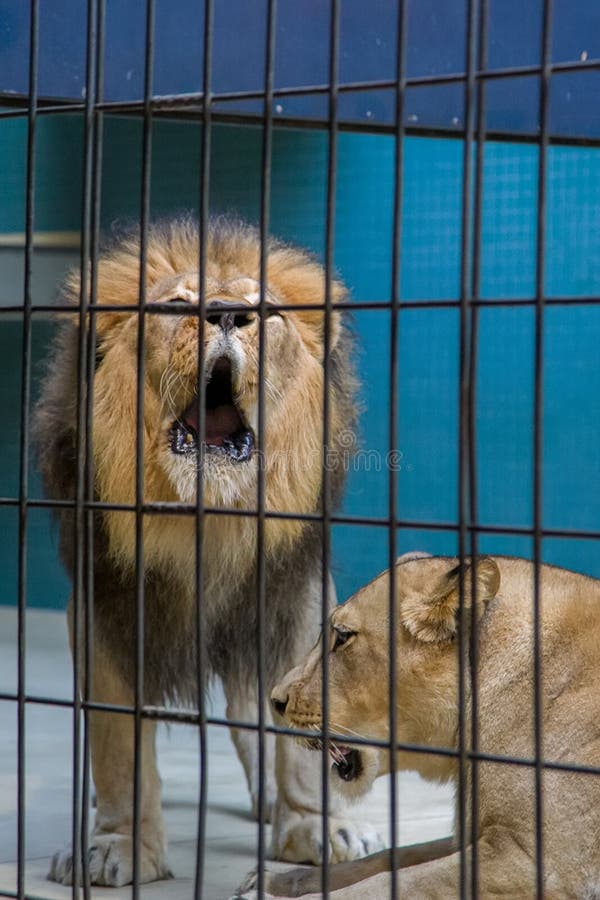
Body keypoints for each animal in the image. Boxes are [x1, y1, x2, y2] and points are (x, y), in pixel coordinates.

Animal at [33, 217, 383, 886]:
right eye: (176, 306)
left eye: (264, 312)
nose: (224, 314)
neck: (207, 525)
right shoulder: (105, 610)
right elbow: (118, 750)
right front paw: (118, 847)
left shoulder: (295, 601)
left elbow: (298, 737)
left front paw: (317, 830)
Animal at [243, 554, 600, 899]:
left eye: (342, 636)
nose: (275, 700)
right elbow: (390, 858)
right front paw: (273, 881)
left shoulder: (541, 863)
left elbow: (395, 883)